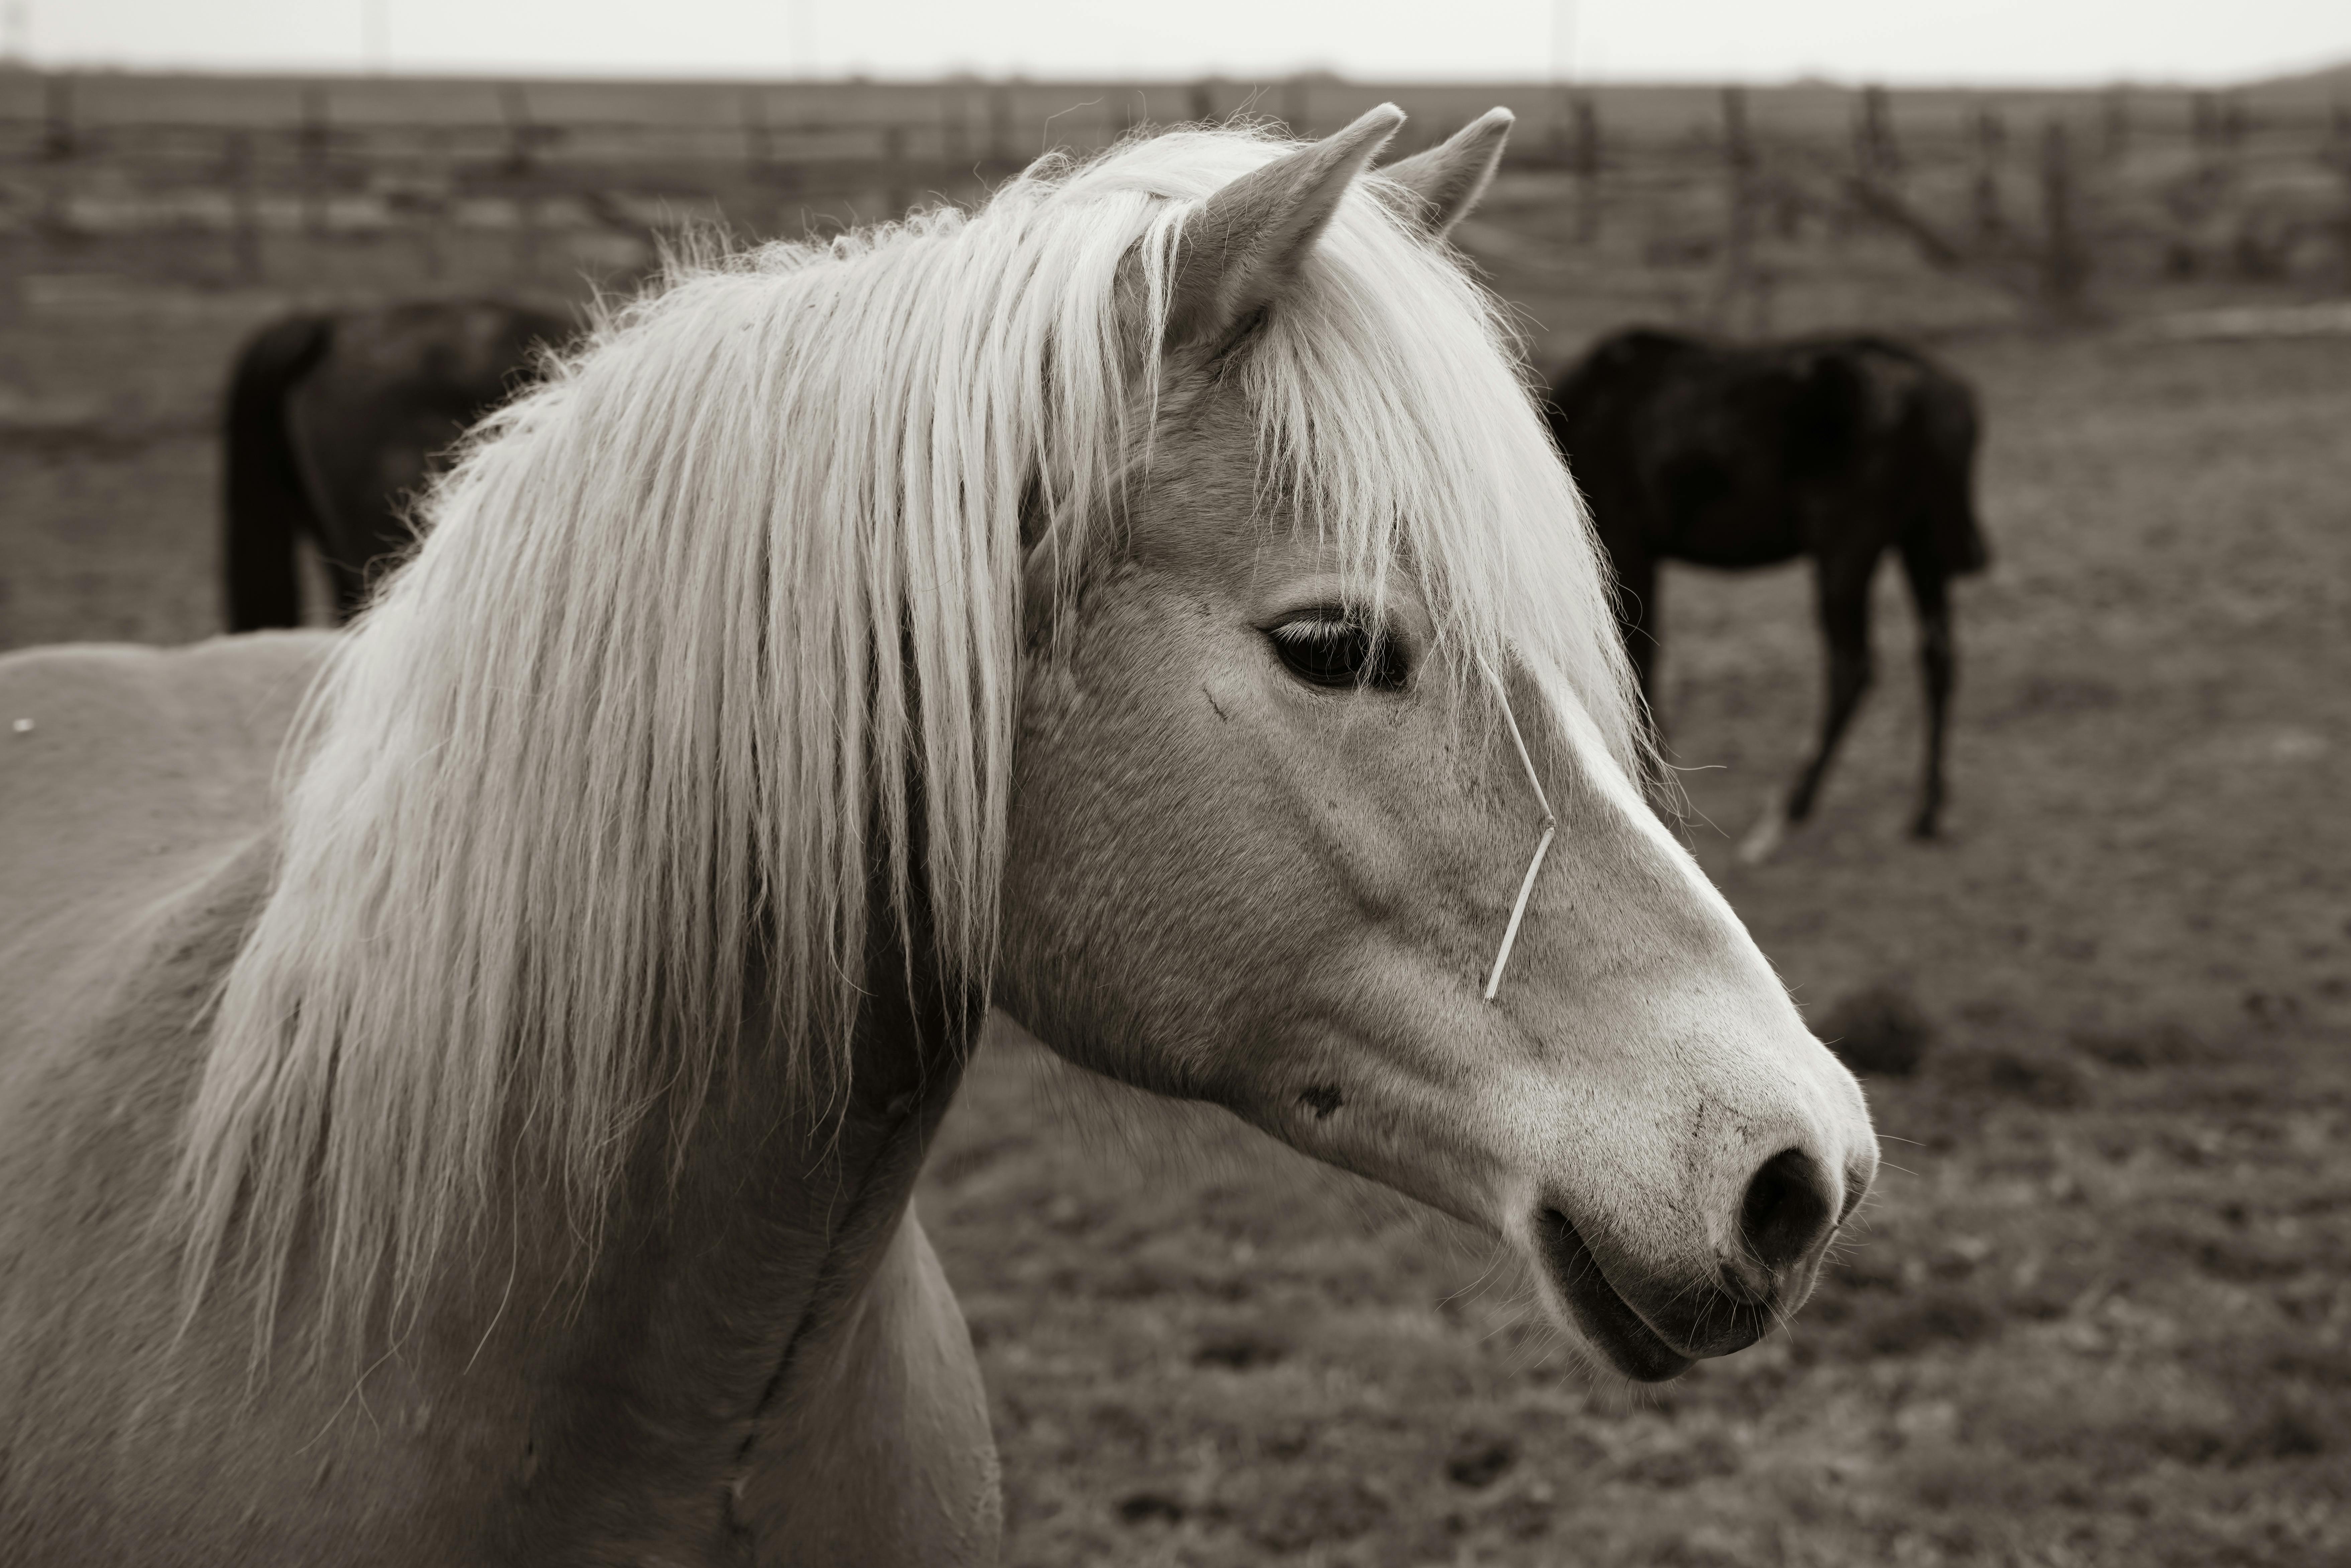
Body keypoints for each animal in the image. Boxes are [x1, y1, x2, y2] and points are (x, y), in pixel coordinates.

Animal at [1543, 328, 1990, 859]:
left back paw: (1787, 810)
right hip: (1917, 546)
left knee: (1852, 668)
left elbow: (1636, 662)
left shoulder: (1624, 545)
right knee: (1937, 658)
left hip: (1846, 549)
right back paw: (1926, 811)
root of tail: (1938, 394)